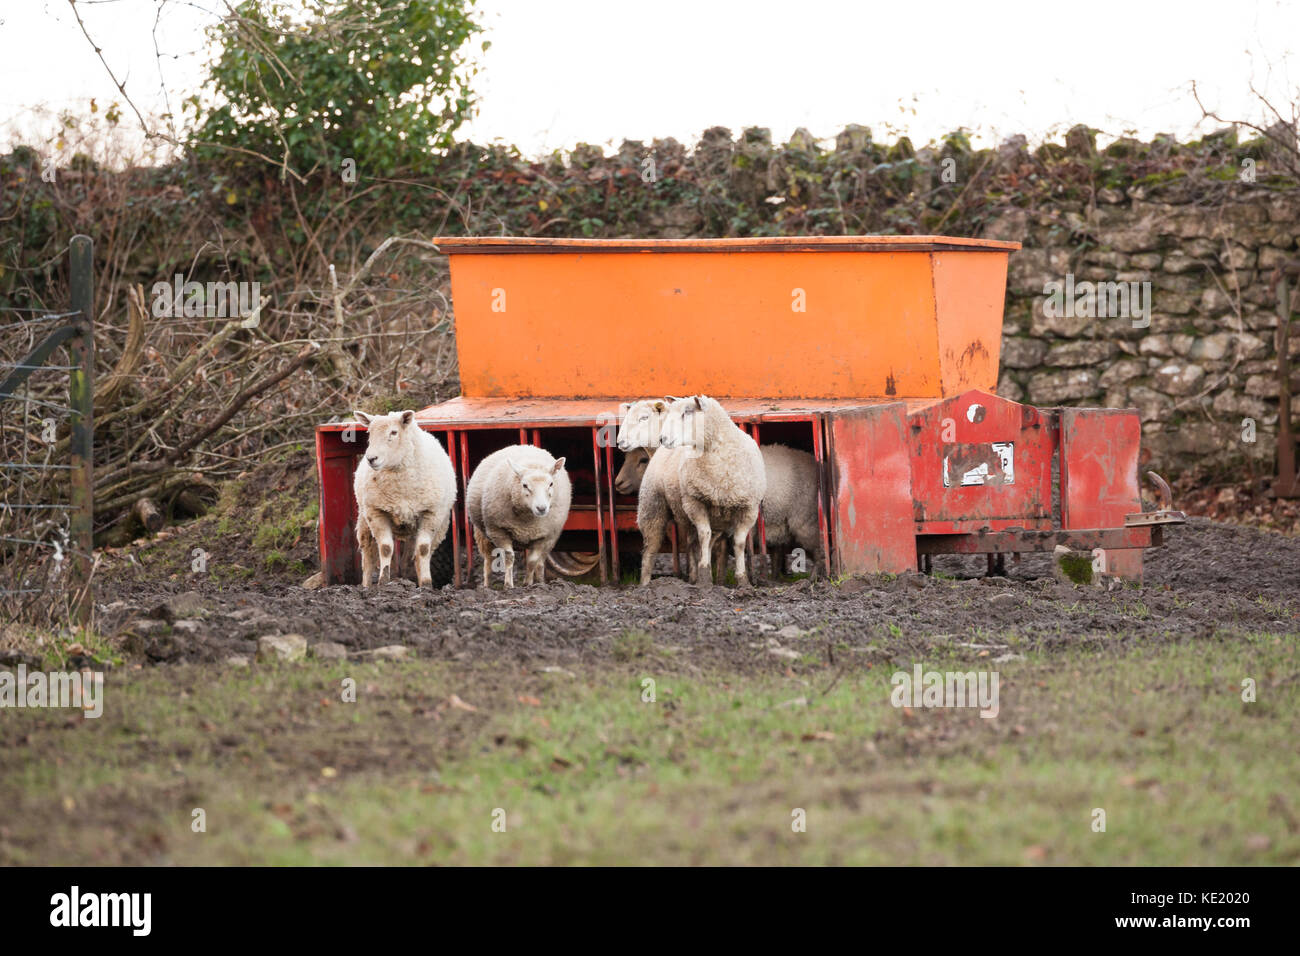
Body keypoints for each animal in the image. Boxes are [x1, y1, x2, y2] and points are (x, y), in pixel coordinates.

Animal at [352, 410, 457, 588]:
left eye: (394, 432)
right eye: (369, 433)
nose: (371, 458)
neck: (401, 490)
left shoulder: (431, 513)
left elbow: (423, 549)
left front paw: (426, 584)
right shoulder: (376, 512)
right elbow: (385, 548)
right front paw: (383, 581)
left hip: (438, 526)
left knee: (419, 553)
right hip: (364, 519)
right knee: (367, 552)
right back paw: (366, 585)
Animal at [466, 444, 571, 588]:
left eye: (551, 484)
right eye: (525, 485)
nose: (542, 508)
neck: (527, 520)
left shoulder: (545, 536)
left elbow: (532, 561)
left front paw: (528, 584)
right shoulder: (498, 531)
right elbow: (509, 557)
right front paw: (508, 585)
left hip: (550, 540)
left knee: (541, 561)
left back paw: (541, 582)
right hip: (482, 534)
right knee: (488, 560)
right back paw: (487, 586)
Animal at [658, 395, 766, 588]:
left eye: (687, 412)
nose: (662, 439)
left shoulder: (749, 508)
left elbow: (739, 543)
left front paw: (743, 580)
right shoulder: (695, 503)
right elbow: (704, 536)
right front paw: (704, 576)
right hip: (690, 516)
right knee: (697, 542)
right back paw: (697, 574)